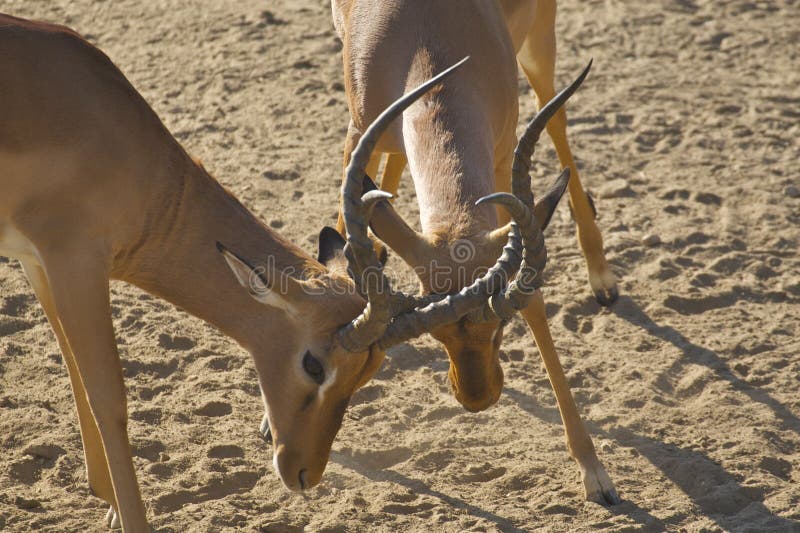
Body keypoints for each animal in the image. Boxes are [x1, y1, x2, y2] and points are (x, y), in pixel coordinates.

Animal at [0, 14, 538, 531]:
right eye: (313, 364)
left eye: (368, 372)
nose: (303, 473)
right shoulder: (73, 260)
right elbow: (108, 397)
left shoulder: (40, 260)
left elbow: (74, 370)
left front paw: (106, 500)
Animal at [332, 0, 619, 504]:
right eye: (436, 336)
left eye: (501, 327)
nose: (477, 401)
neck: (426, 39)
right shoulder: (358, 133)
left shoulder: (504, 157)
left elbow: (535, 299)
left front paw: (594, 471)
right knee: (391, 174)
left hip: (540, 48)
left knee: (556, 116)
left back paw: (601, 275)